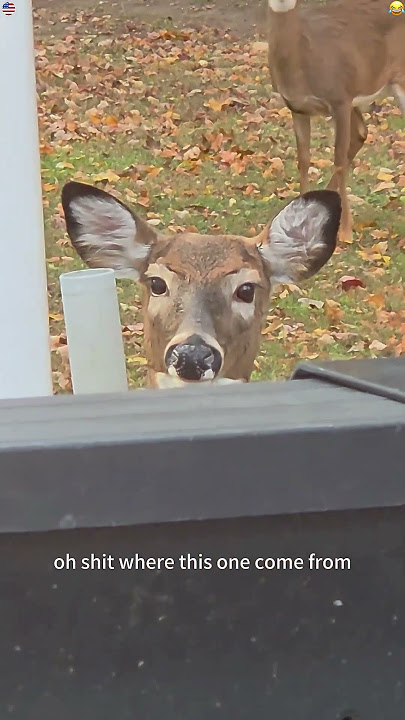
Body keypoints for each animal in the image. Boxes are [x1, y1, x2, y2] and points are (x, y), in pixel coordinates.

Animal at [267, 0, 405, 242]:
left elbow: (338, 160)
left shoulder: (340, 98)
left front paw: (346, 230)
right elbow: (303, 159)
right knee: (361, 132)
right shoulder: (298, 108)